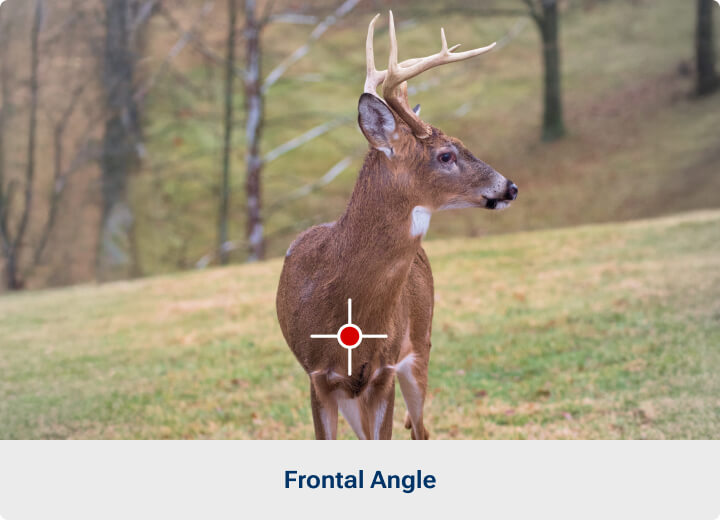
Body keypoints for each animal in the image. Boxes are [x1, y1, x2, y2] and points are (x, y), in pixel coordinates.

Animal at [276, 12, 518, 440]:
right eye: (446, 155)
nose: (510, 186)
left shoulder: (383, 370)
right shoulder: (318, 376)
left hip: (420, 345)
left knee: (421, 429)